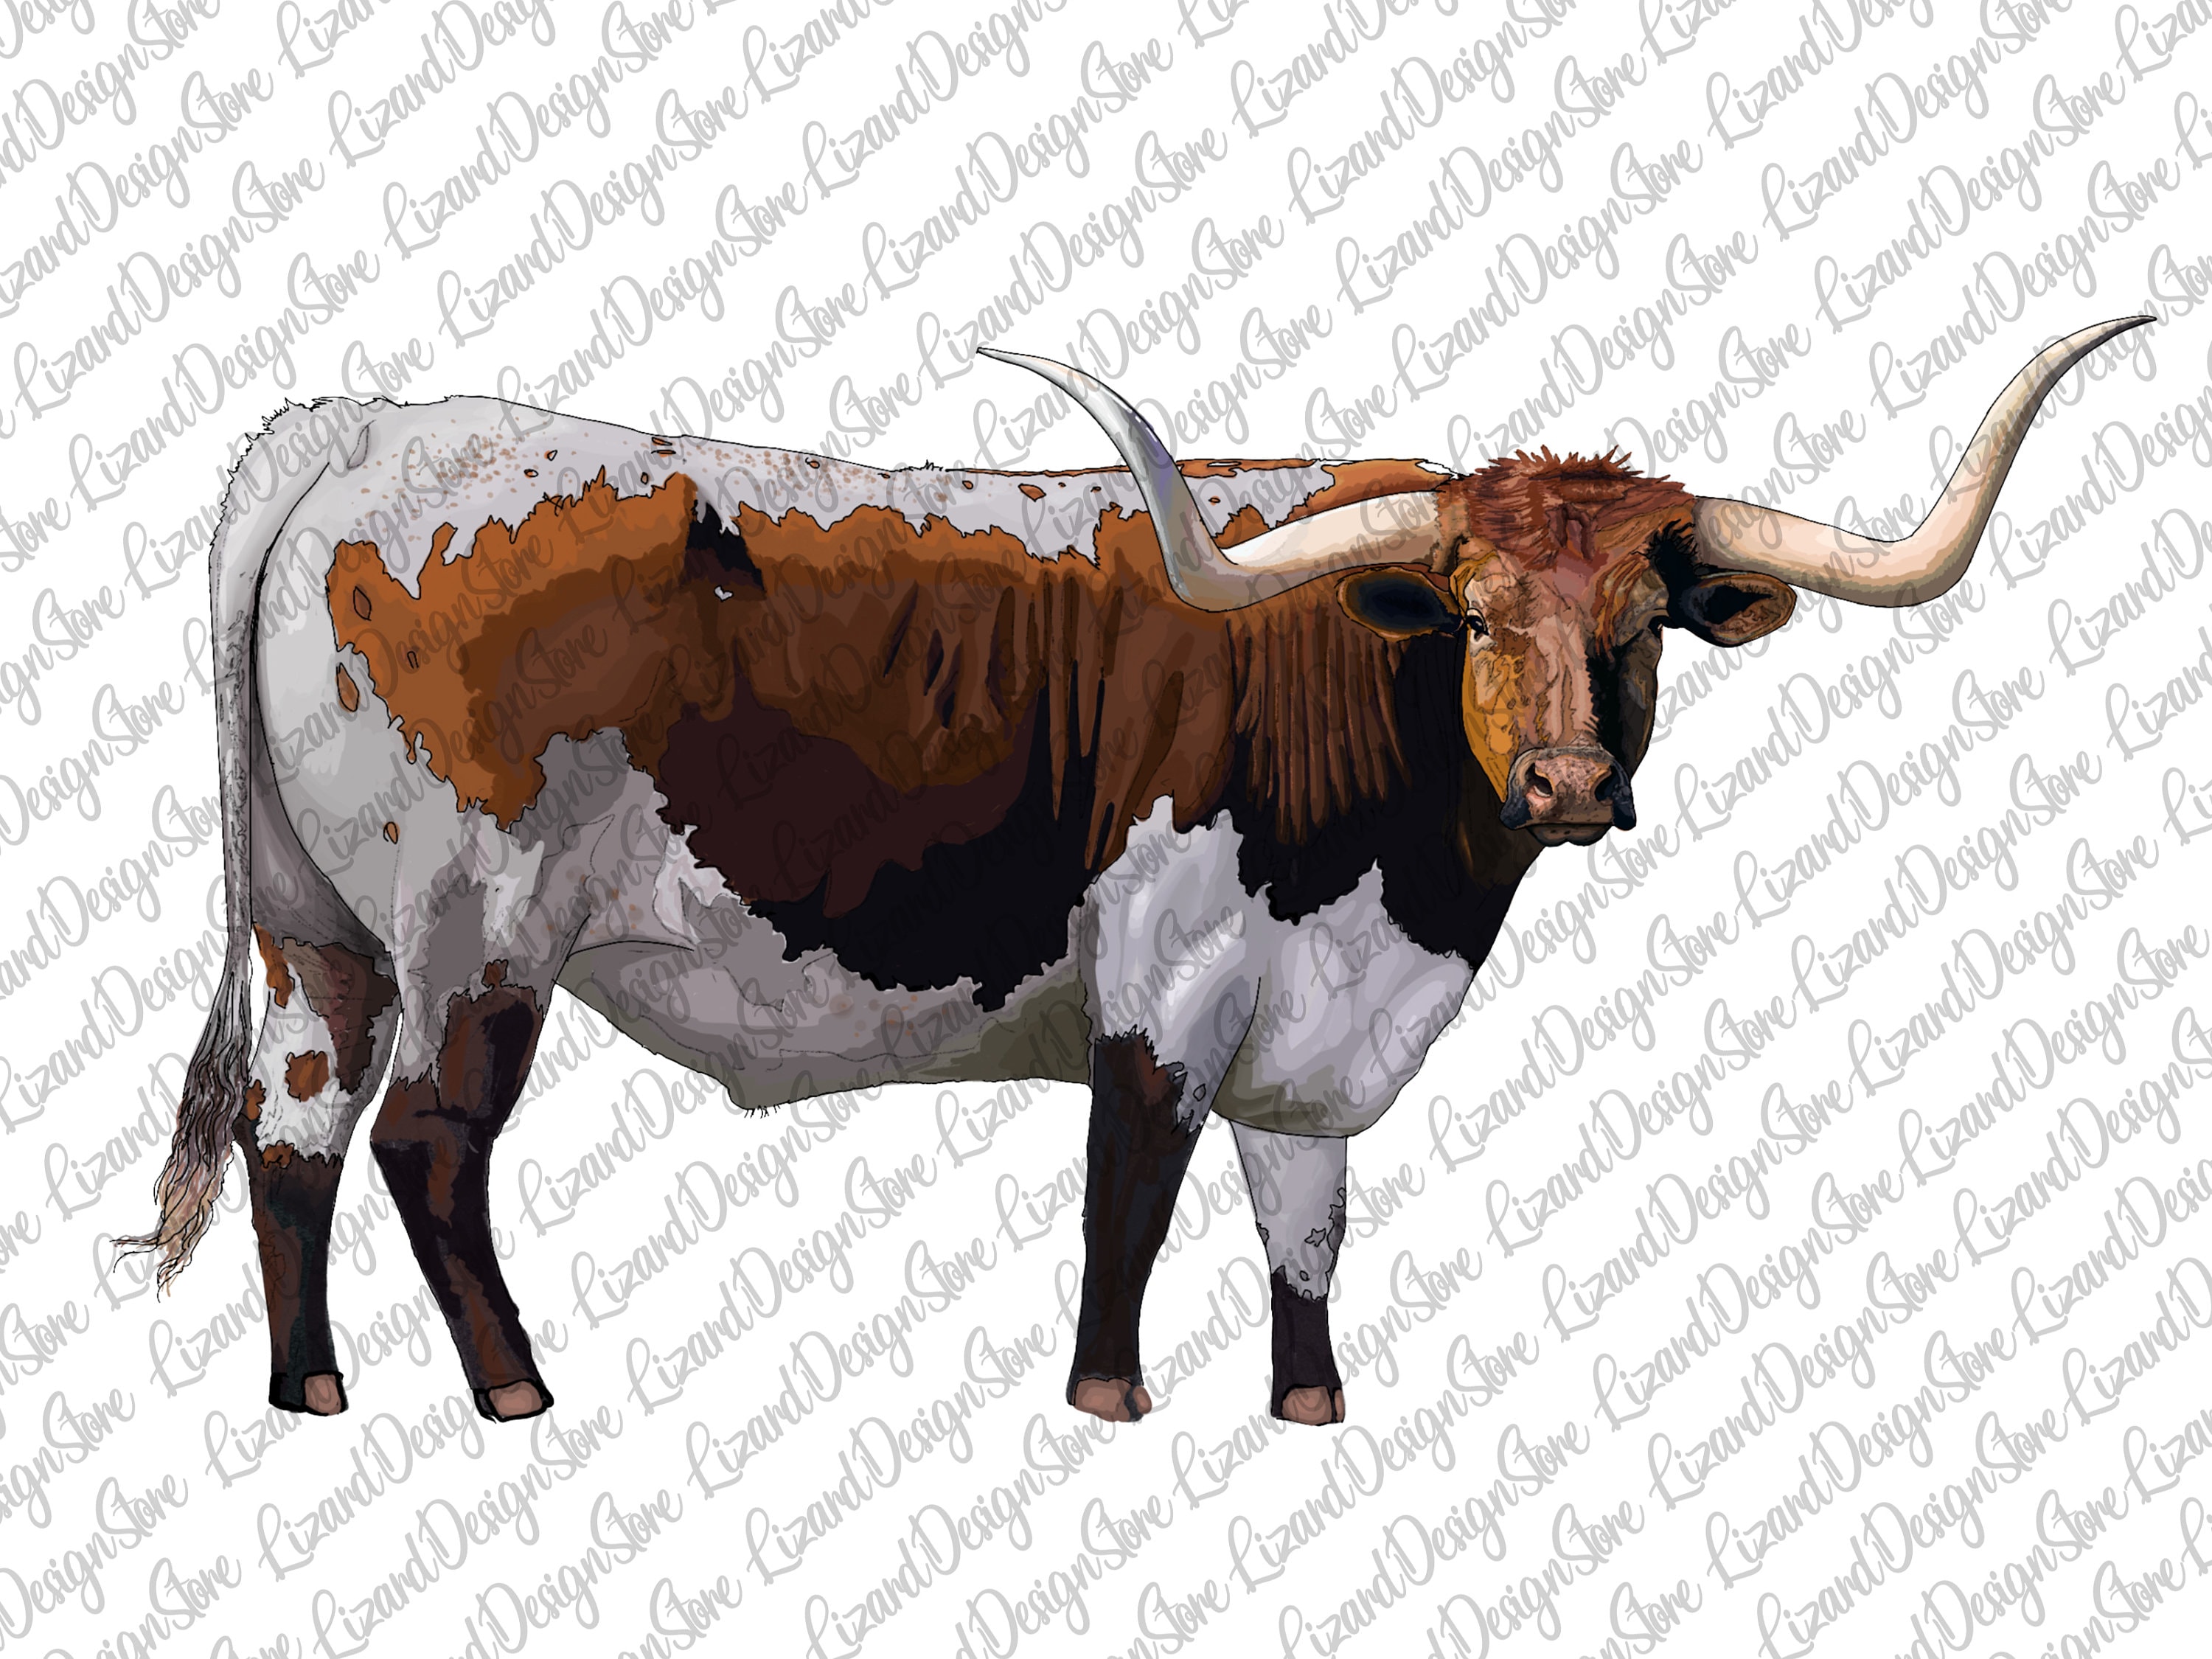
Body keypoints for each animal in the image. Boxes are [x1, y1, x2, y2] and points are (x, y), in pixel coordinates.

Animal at [123, 316, 2147, 1431]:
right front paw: (1109, 1400)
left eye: (1643, 620)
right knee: (423, 1142)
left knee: (294, 1137)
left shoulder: (1313, 1040)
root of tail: (363, 429)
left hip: (314, 932)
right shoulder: (1169, 983)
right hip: (477, 929)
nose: (1571, 778)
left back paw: (311, 1390)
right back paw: (513, 1388)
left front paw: (1310, 1406)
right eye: (1475, 611)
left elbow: (1303, 1223)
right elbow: (1132, 1196)